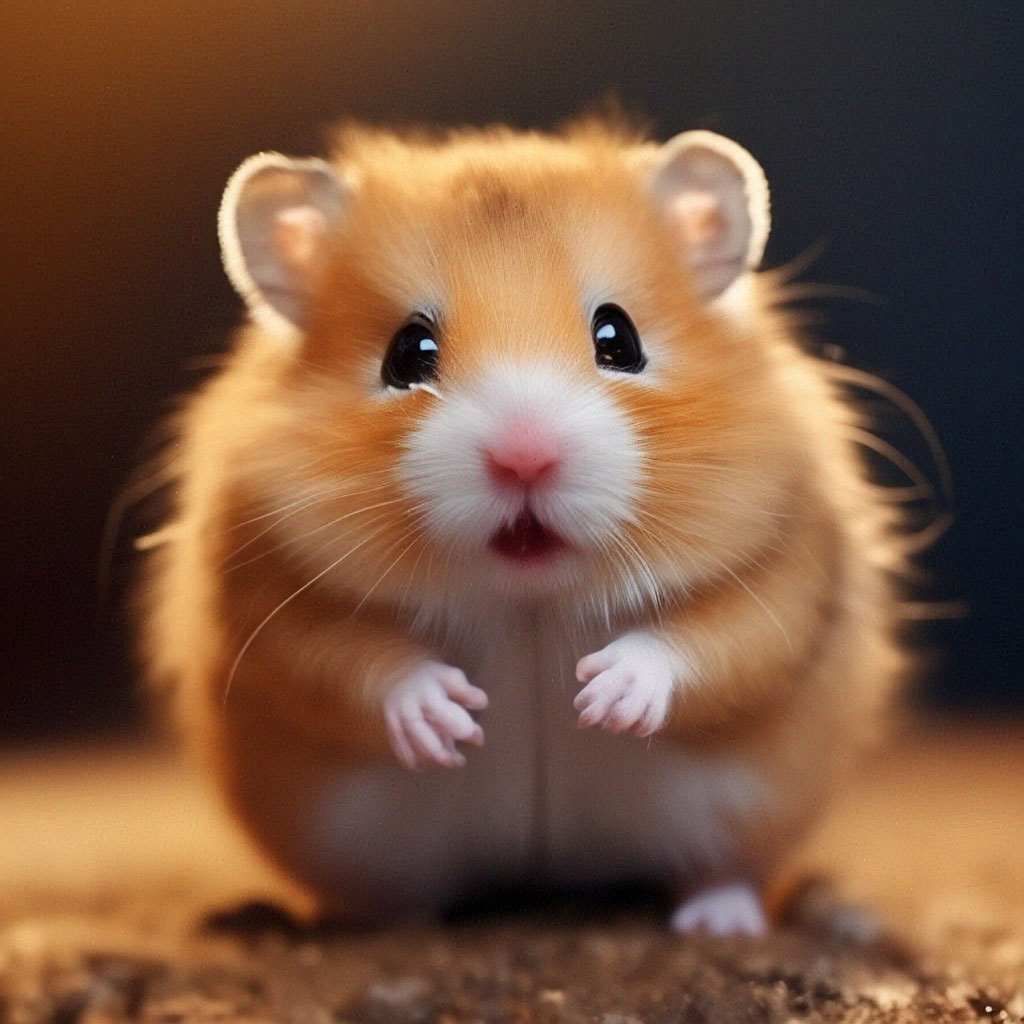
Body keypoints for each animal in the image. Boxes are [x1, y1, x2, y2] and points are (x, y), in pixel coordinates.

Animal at [141, 119, 904, 934]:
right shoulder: (262, 589)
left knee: (723, 868)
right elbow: (340, 657)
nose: (525, 456)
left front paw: (600, 697)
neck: (528, 597)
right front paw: (452, 718)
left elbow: (720, 641)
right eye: (406, 353)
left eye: (619, 339)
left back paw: (720, 925)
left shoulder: (791, 567)